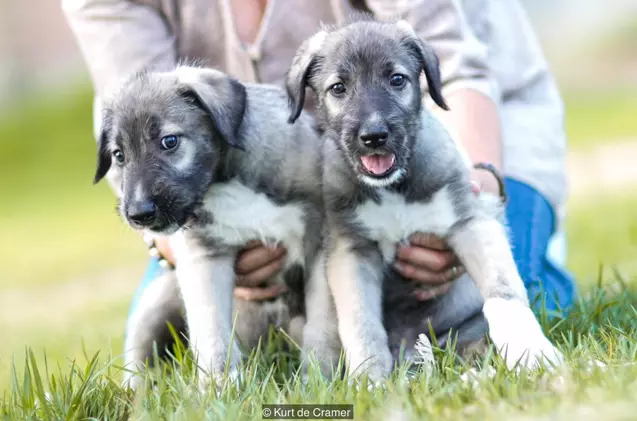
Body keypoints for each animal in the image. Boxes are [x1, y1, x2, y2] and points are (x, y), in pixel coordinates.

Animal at [93, 65, 328, 388]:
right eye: (119, 155)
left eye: (170, 141)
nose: (139, 214)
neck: (223, 181)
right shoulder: (203, 257)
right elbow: (211, 325)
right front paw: (222, 384)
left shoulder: (320, 239)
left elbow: (326, 319)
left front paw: (321, 375)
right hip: (155, 304)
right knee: (139, 360)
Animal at [284, 16, 560, 382]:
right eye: (338, 88)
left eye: (397, 79)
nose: (374, 136)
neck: (393, 188)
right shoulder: (351, 251)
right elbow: (361, 324)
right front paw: (368, 382)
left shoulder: (470, 222)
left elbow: (504, 293)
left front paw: (532, 353)